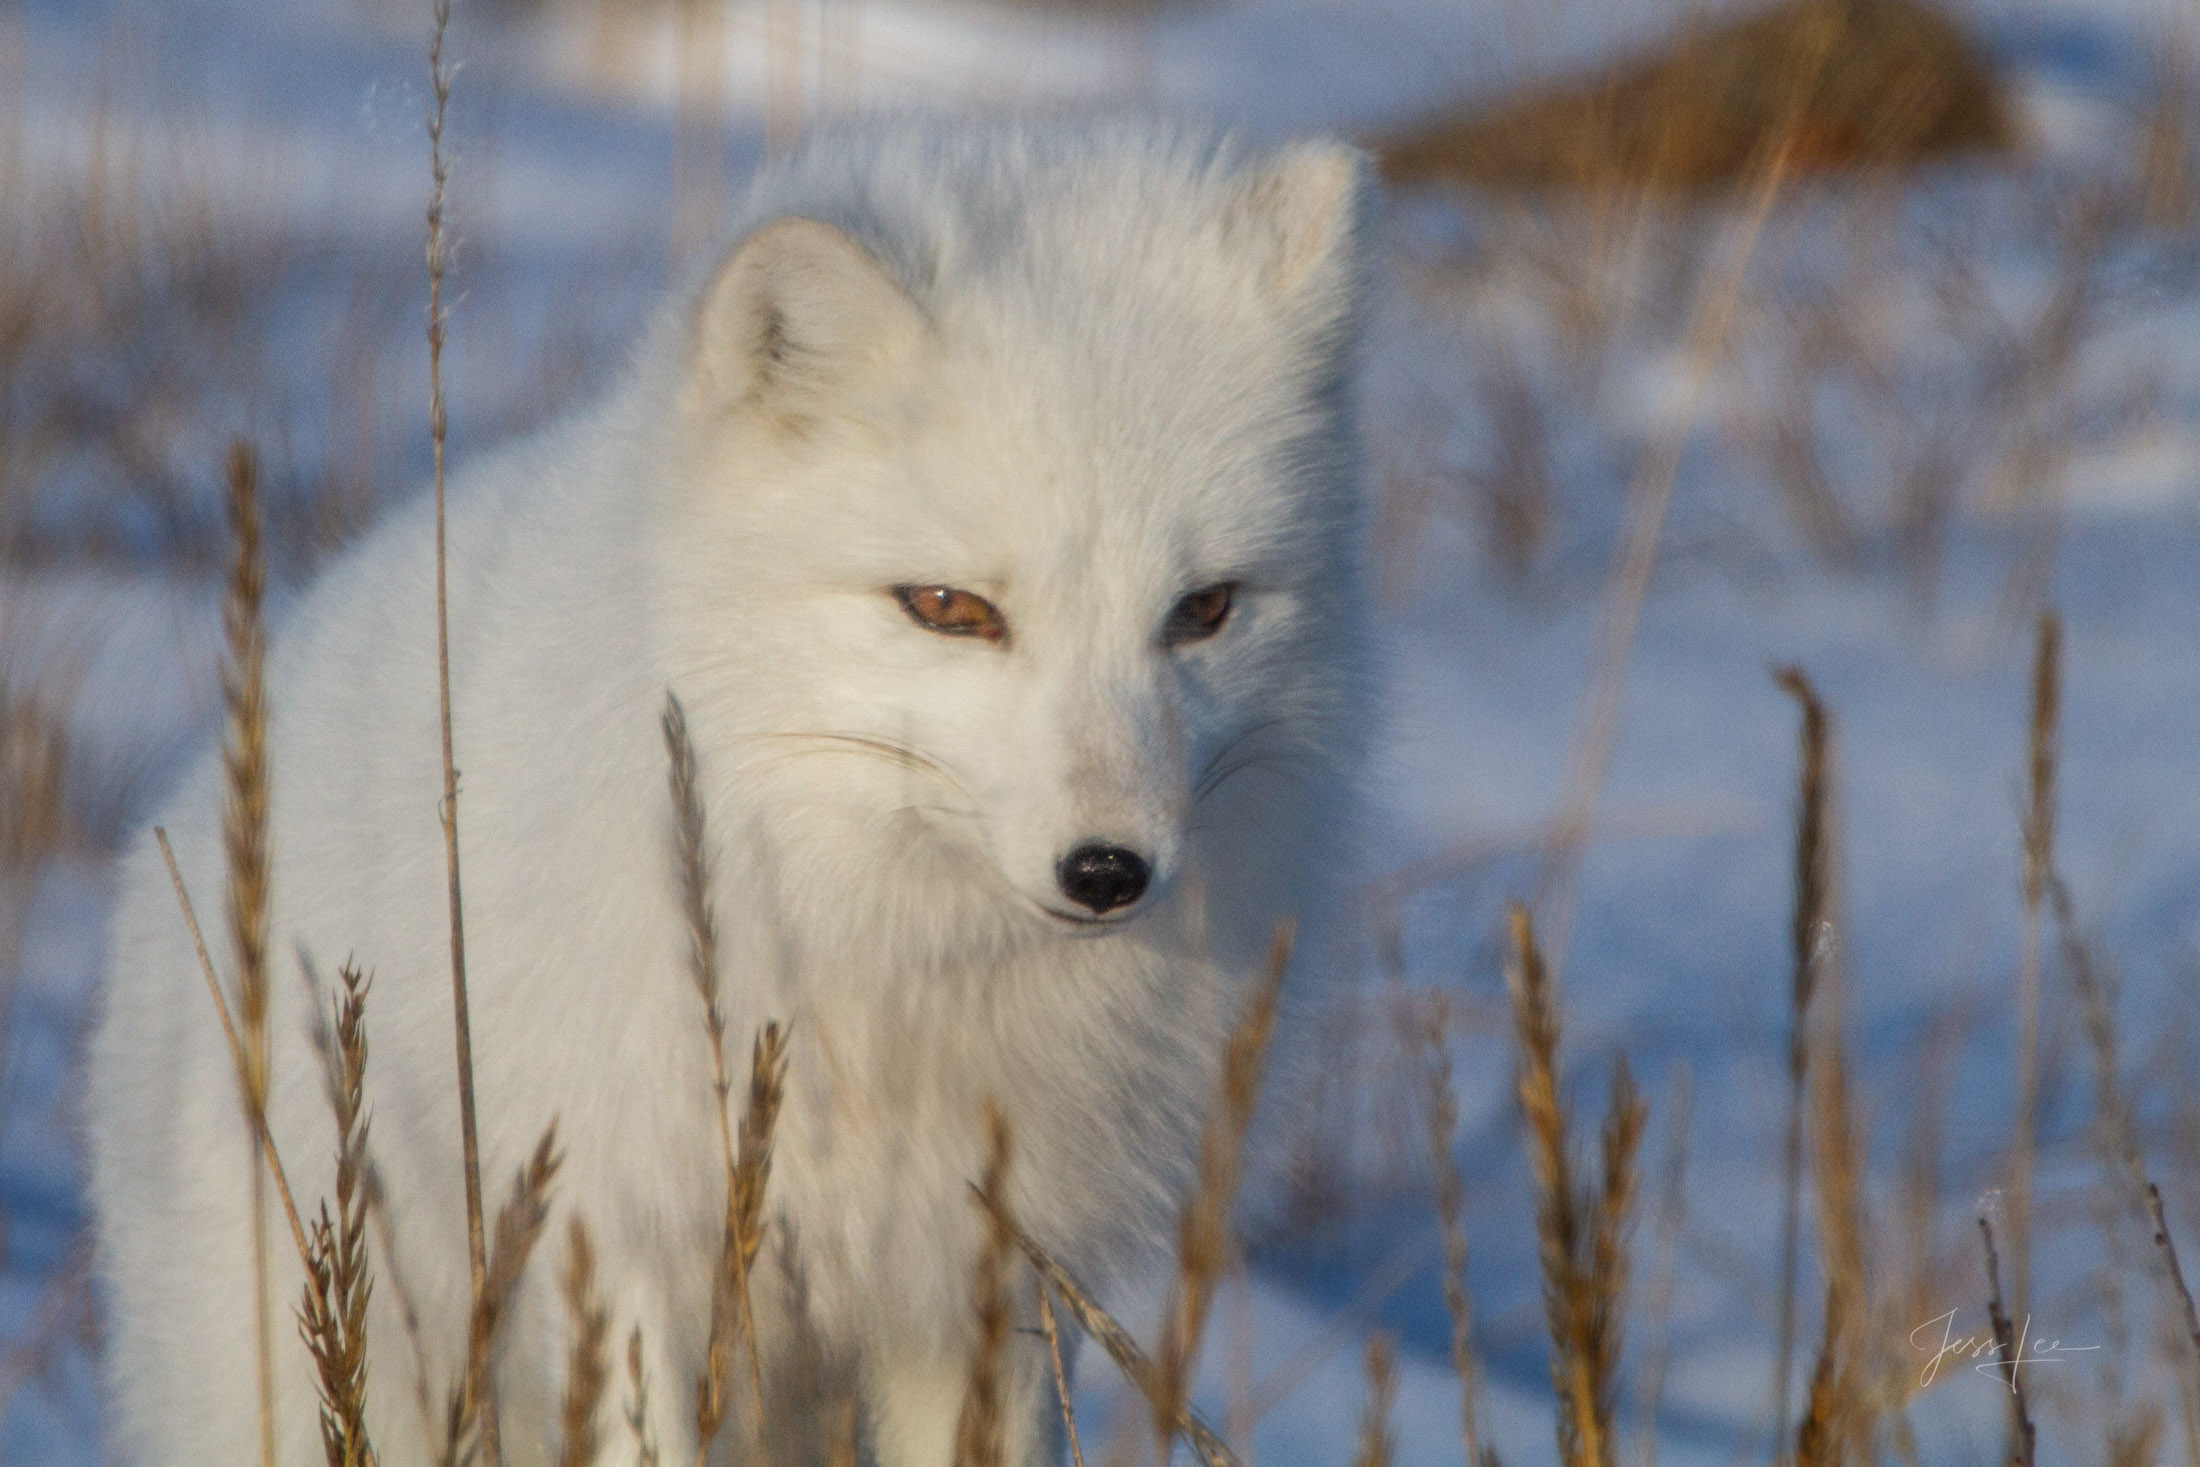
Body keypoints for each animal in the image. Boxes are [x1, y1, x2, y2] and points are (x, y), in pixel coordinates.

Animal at [86, 119, 1373, 1467]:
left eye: (1205, 609)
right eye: (949, 608)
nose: (1110, 870)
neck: (871, 946)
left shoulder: (980, 1272)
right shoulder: (622, 1239)